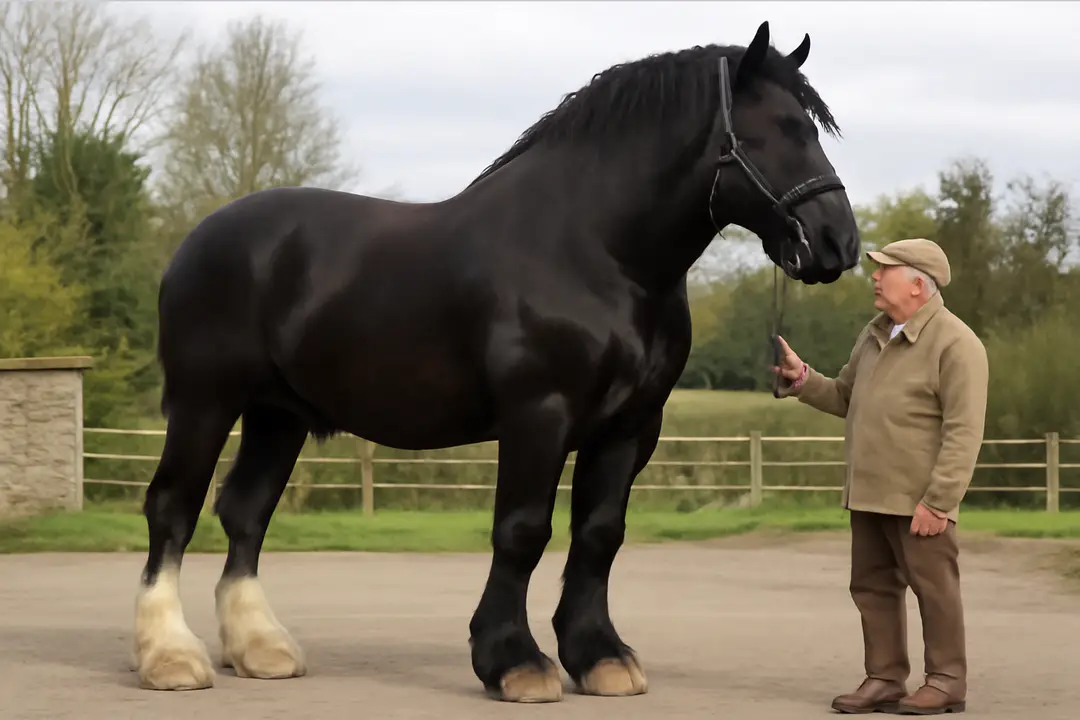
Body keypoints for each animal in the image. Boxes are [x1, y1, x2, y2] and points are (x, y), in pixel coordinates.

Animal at [131, 20, 860, 703]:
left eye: (814, 127)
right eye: (780, 130)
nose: (839, 243)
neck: (595, 253)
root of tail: (198, 240)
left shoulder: (630, 425)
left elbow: (599, 534)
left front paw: (599, 657)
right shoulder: (539, 414)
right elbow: (522, 530)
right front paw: (514, 661)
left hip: (277, 414)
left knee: (245, 513)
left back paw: (260, 648)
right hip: (204, 403)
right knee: (173, 509)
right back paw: (171, 656)